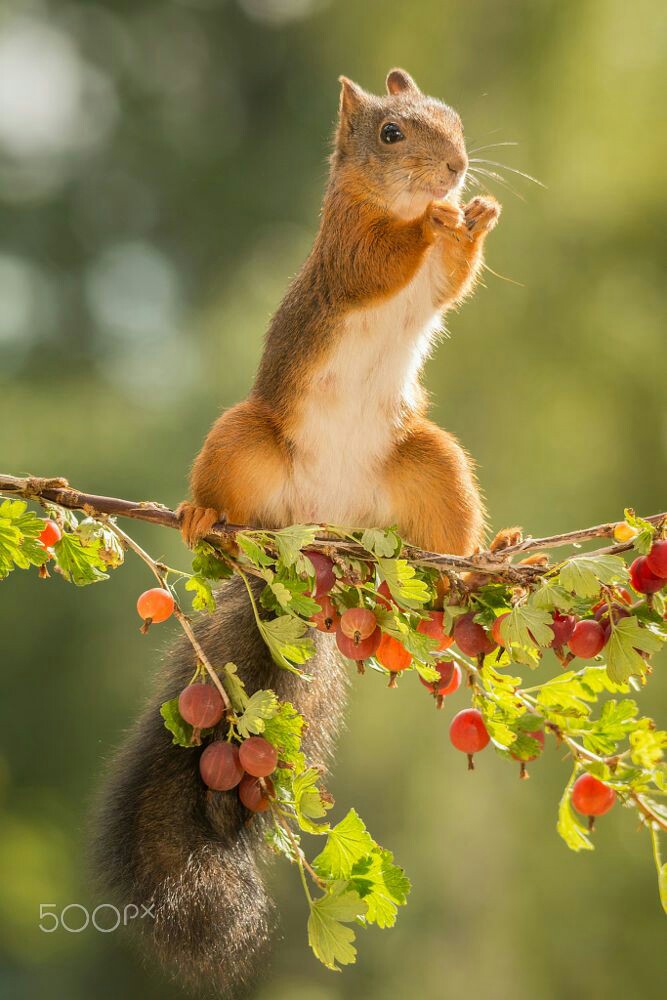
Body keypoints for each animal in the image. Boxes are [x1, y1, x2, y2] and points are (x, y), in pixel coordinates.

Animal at [93, 68, 500, 996]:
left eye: (454, 121)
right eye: (390, 134)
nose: (454, 169)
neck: (385, 202)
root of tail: (323, 526)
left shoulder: (433, 285)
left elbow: (450, 281)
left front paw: (472, 217)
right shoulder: (344, 253)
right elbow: (380, 263)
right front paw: (437, 219)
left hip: (429, 464)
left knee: (448, 523)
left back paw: (474, 561)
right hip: (245, 438)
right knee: (222, 491)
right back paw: (204, 517)